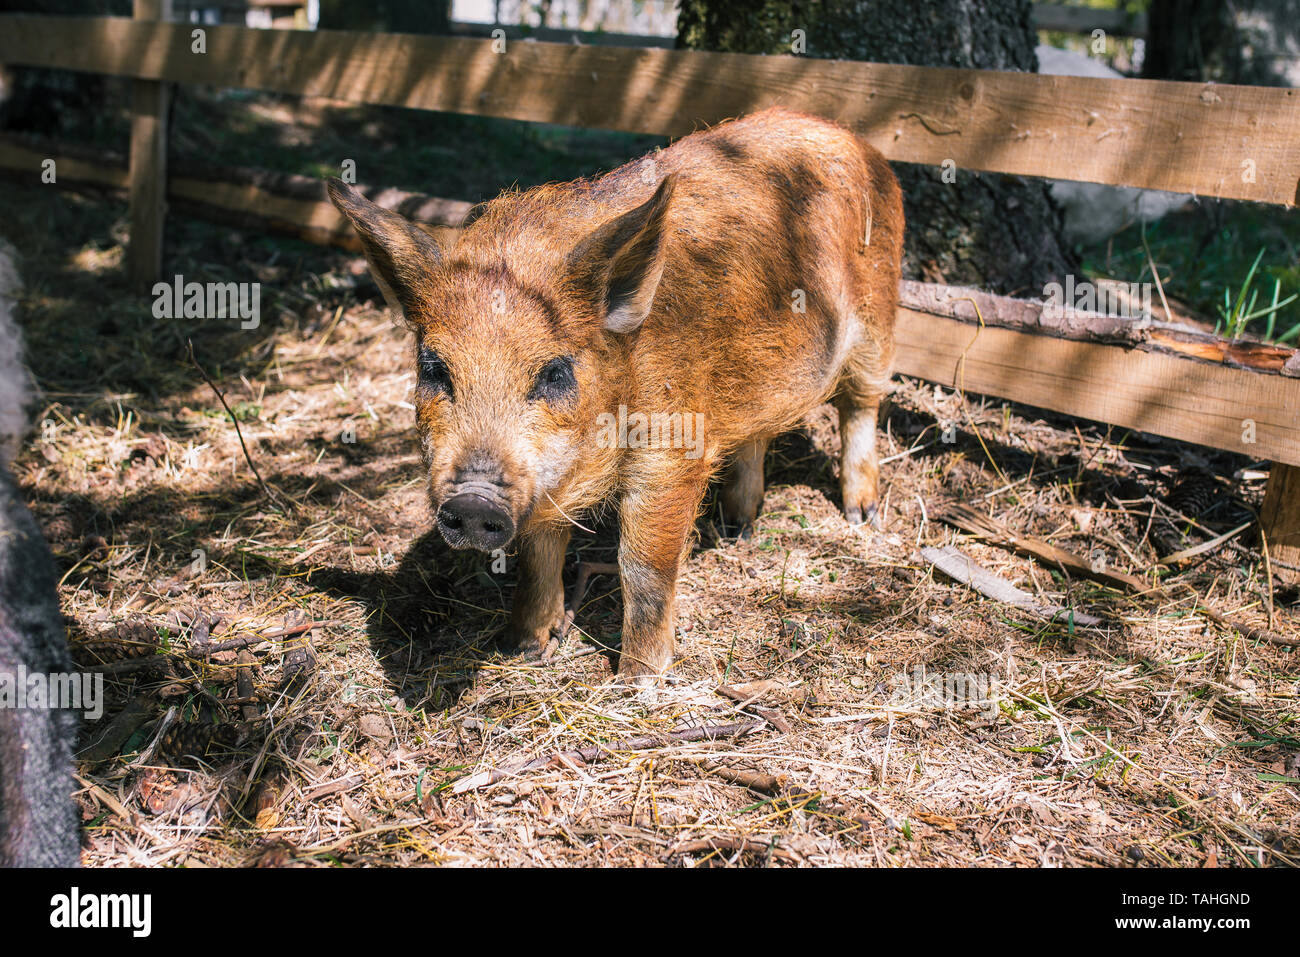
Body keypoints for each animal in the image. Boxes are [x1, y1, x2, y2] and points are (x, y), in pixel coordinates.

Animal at [328, 107, 903, 682]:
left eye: (555, 372)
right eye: (434, 368)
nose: (472, 499)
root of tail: (849, 137)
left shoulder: (674, 445)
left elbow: (643, 563)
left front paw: (638, 678)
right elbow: (539, 553)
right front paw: (522, 648)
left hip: (878, 317)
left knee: (861, 405)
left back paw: (862, 516)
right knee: (756, 432)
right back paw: (736, 527)